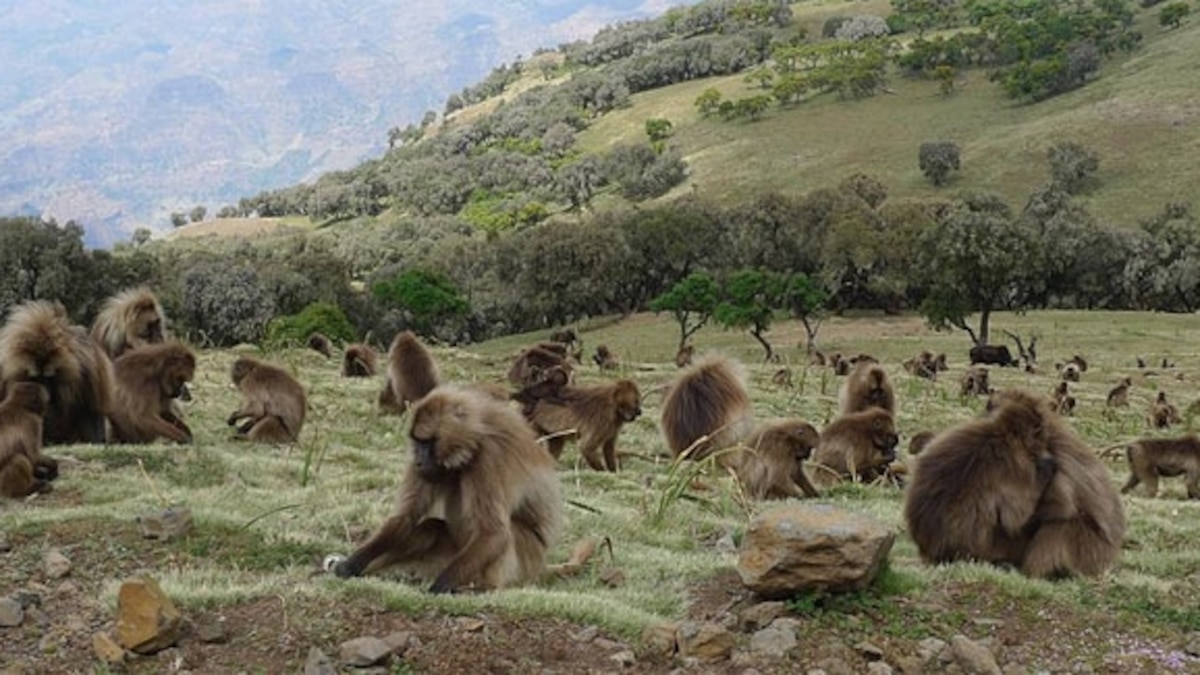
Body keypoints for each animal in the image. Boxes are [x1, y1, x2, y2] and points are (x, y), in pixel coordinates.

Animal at [332, 386, 562, 592]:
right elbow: (405, 517)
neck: (473, 442)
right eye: (417, 442)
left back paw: (485, 587)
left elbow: (494, 531)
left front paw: (439, 586)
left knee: (508, 530)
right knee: (430, 527)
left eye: (427, 443)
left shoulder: (490, 457)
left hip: (527, 559)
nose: (417, 460)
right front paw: (351, 564)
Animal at [906, 389, 1124, 579]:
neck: (1002, 431)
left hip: (1090, 552)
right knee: (1058, 525)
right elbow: (1042, 511)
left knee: (1061, 527)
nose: (986, 411)